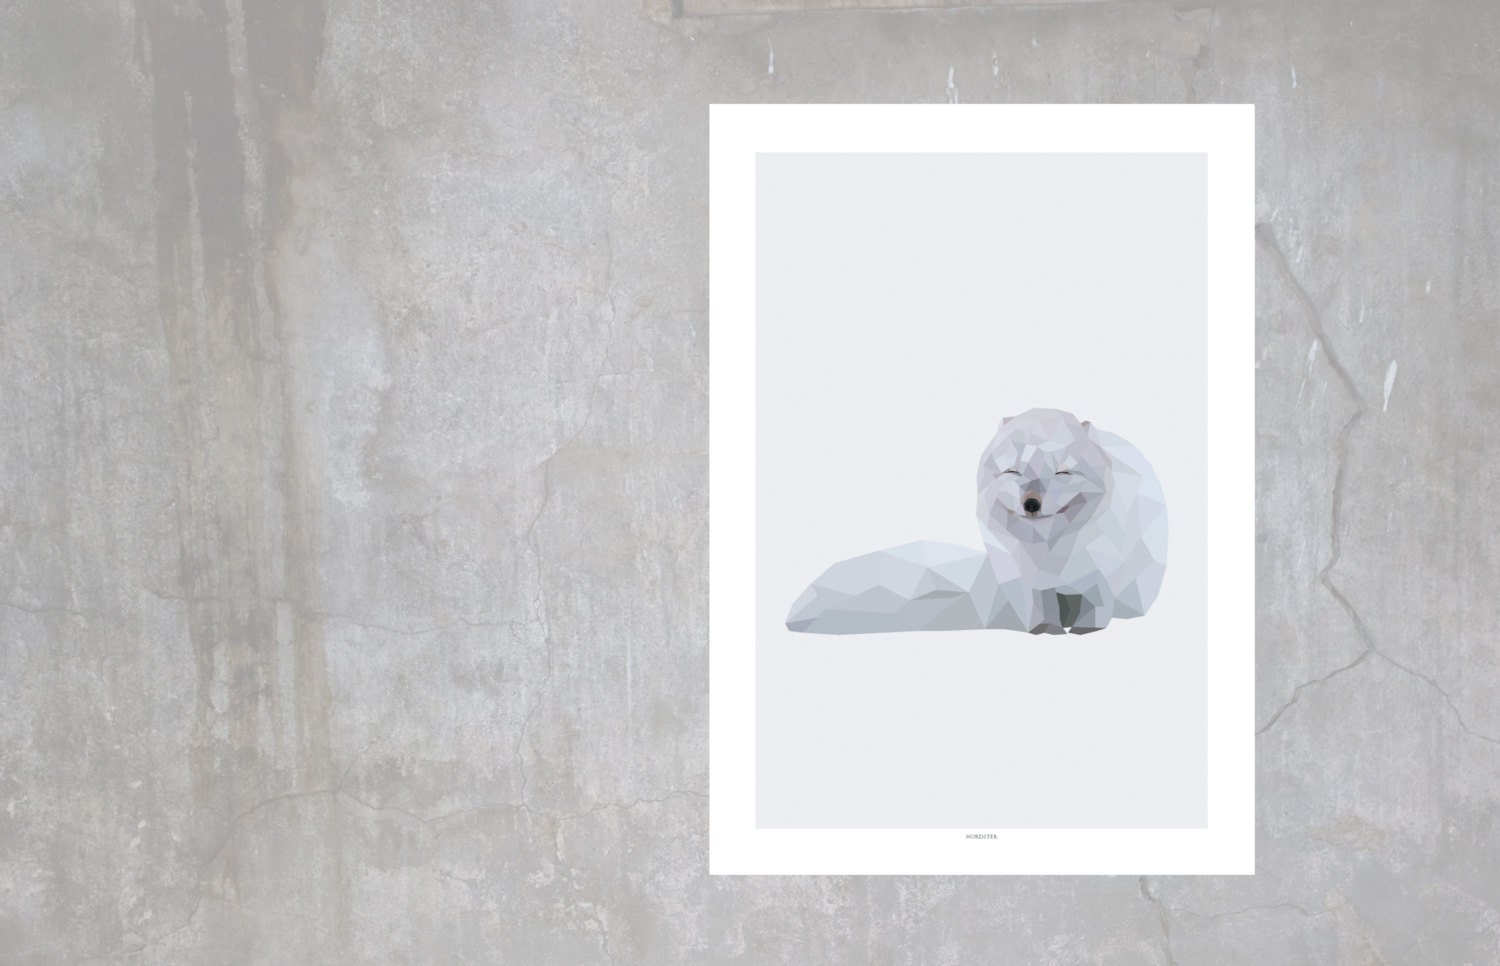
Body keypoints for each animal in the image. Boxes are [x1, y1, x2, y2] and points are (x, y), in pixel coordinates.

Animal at [785, 408, 1167, 635]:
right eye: (1013, 471)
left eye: (1062, 472)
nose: (1031, 503)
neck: (1050, 553)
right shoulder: (1027, 581)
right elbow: (1040, 608)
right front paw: (1045, 628)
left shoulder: (1102, 575)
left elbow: (1097, 606)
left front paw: (1088, 629)